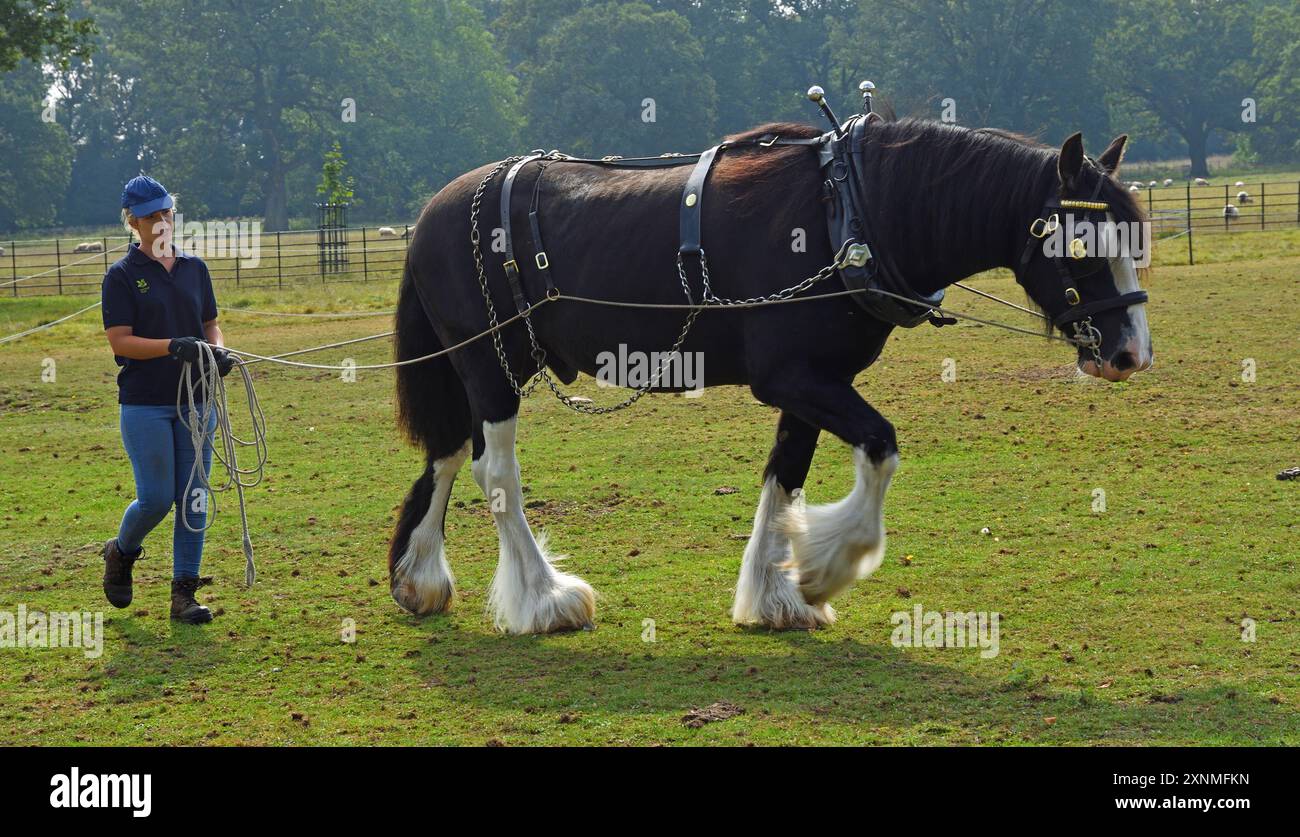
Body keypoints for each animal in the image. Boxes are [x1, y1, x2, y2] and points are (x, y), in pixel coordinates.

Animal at [387, 117, 1153, 634]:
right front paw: (823, 570)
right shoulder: (791, 376)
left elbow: (785, 474)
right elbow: (880, 447)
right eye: (1081, 242)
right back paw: (545, 598)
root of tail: (432, 212)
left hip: (476, 368)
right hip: (490, 367)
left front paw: (774, 594)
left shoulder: (812, 380)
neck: (849, 209)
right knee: (493, 472)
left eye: (1135, 238)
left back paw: (418, 575)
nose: (1130, 354)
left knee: (449, 454)